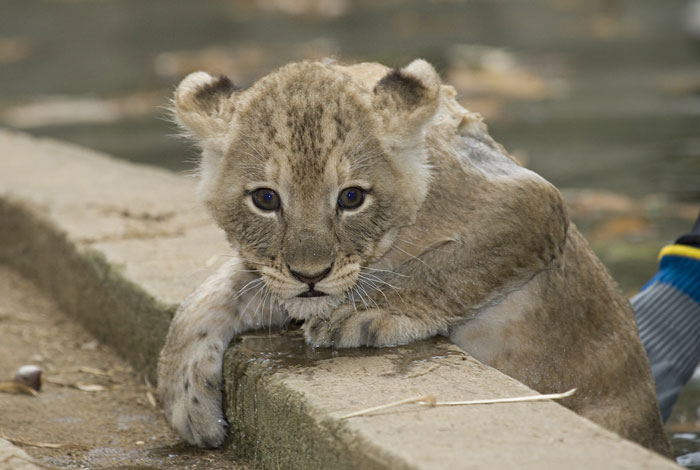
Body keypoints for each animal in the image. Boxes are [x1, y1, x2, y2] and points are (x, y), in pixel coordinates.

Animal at [156, 59, 671, 456]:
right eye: (265, 199)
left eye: (351, 198)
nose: (310, 275)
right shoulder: (274, 277)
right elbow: (211, 297)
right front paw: (184, 397)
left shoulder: (531, 200)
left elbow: (449, 267)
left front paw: (369, 313)